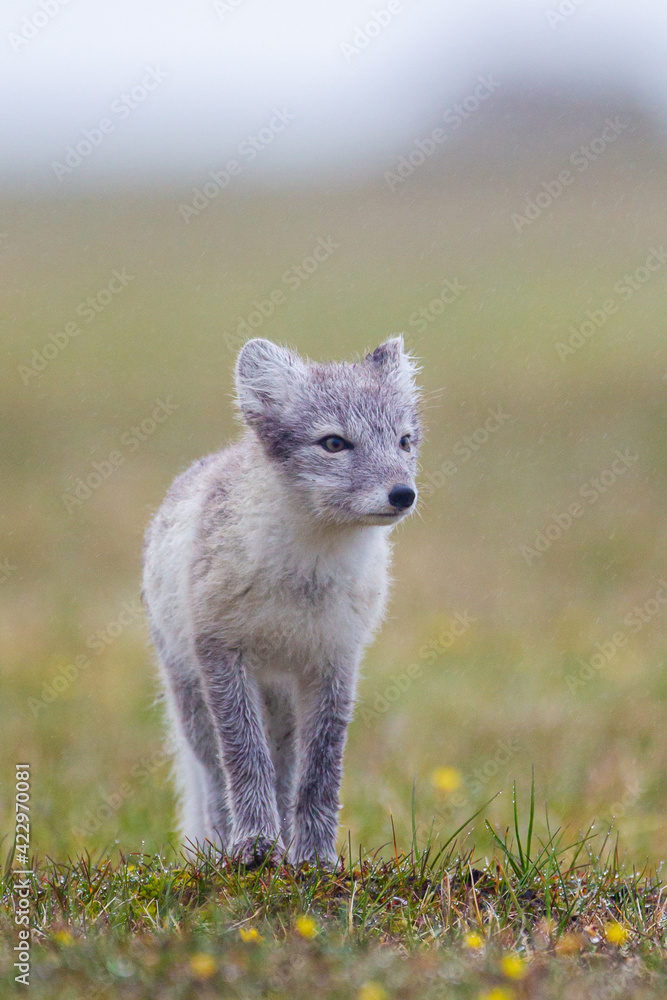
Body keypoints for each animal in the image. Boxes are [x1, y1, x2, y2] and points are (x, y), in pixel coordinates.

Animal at [142, 335, 422, 867]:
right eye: (333, 443)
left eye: (404, 442)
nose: (403, 494)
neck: (306, 574)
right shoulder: (221, 653)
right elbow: (244, 759)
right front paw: (254, 845)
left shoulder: (334, 661)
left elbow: (320, 772)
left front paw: (315, 857)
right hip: (193, 696)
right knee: (215, 774)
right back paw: (224, 848)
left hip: (285, 705)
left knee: (286, 769)